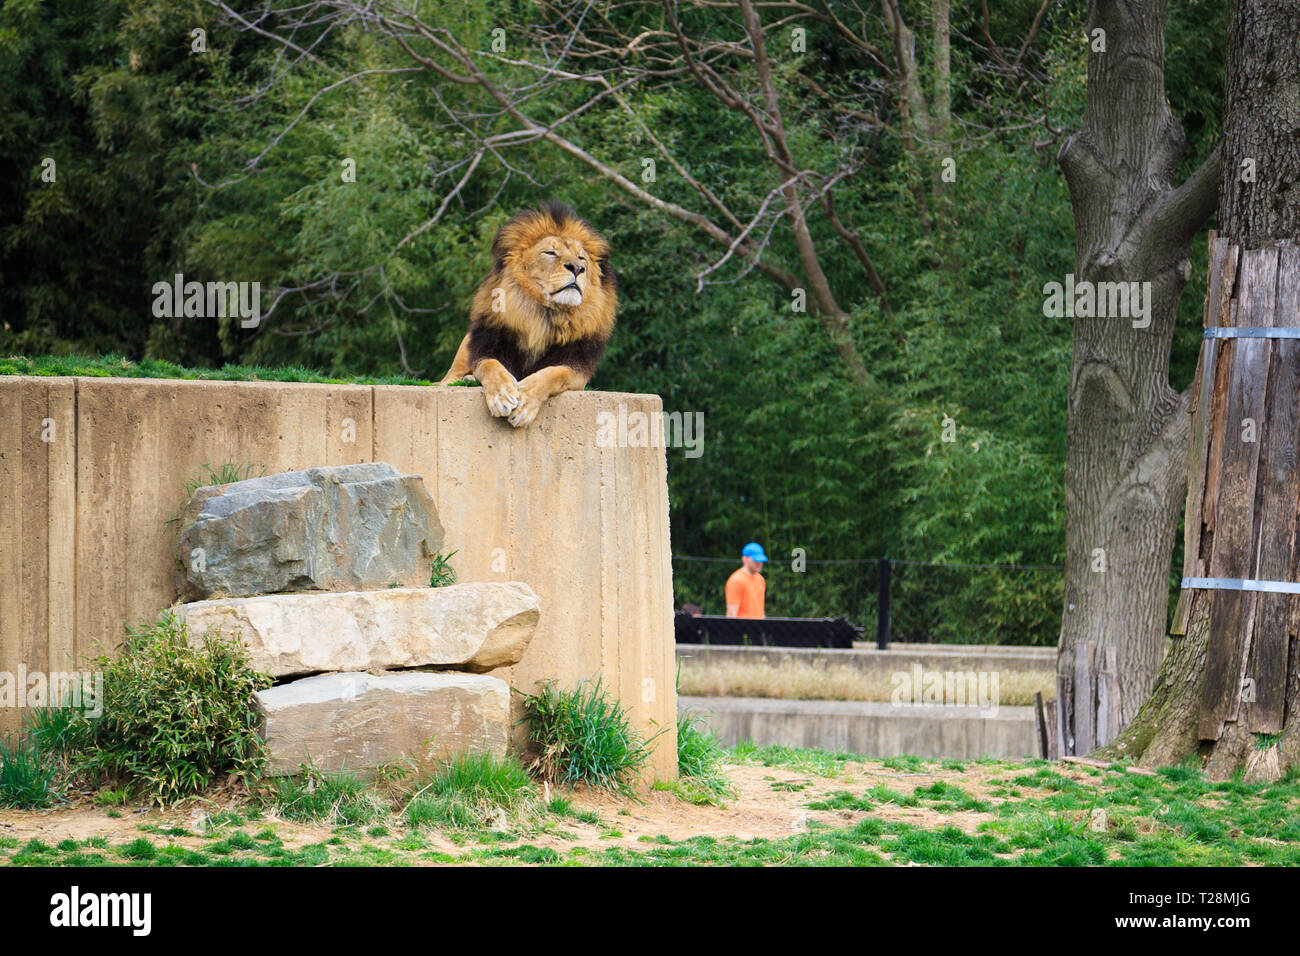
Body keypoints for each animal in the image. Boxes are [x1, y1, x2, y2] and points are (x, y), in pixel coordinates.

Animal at [438, 201, 617, 428]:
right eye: (550, 253)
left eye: (581, 257)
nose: (578, 268)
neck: (543, 317)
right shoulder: (486, 348)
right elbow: (489, 365)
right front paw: (502, 394)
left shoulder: (577, 369)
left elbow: (553, 373)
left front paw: (524, 401)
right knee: (446, 380)